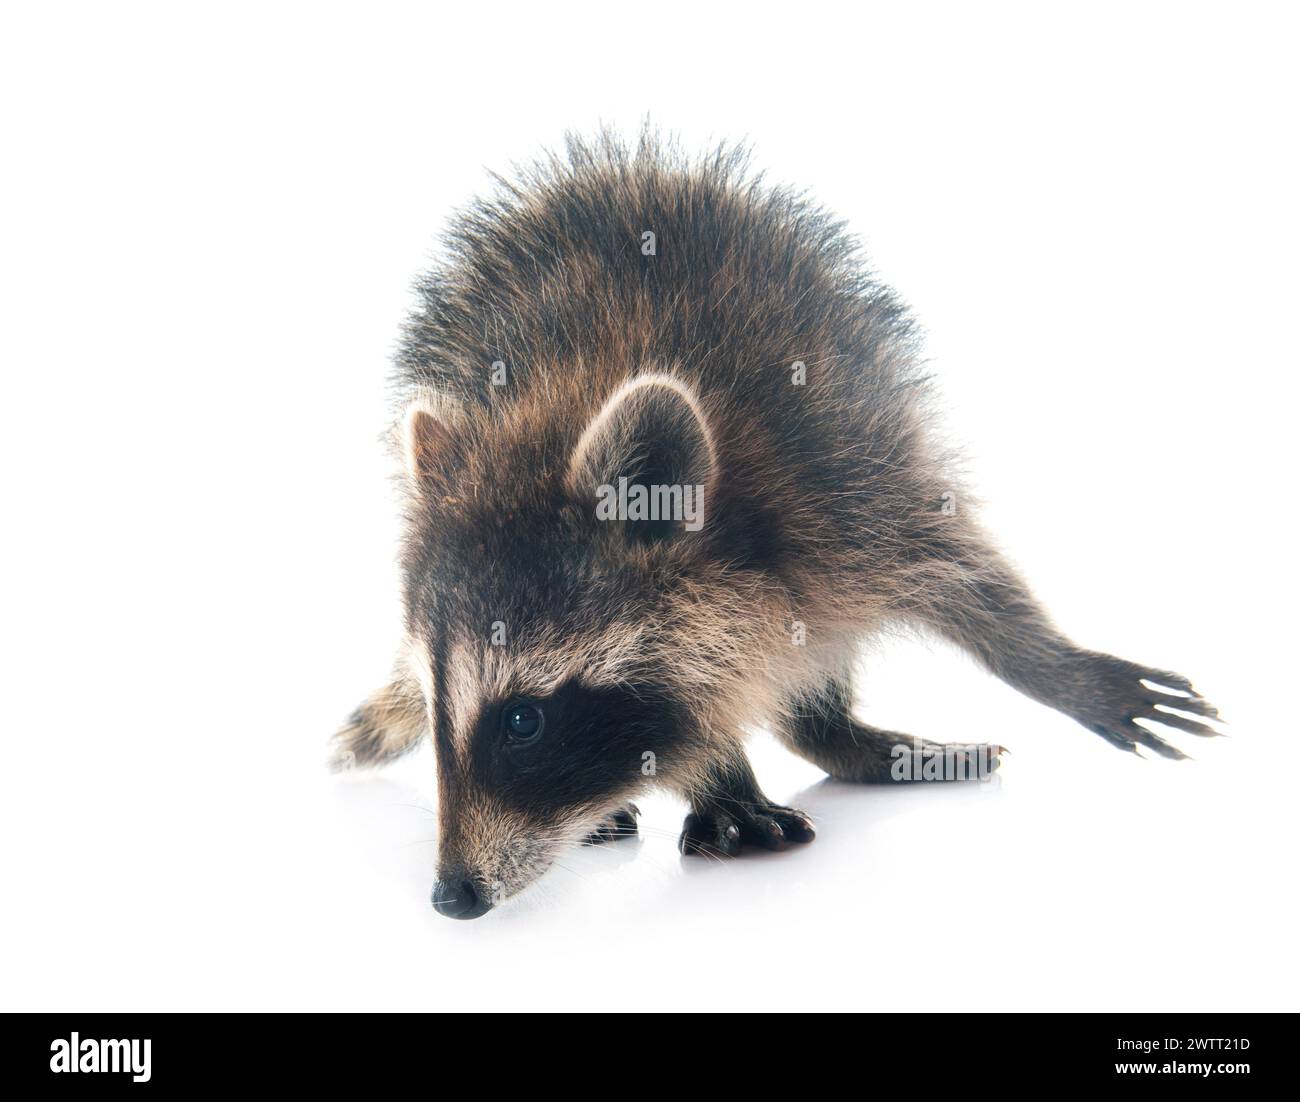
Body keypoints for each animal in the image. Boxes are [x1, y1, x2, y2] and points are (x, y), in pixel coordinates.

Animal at [332, 130, 1219, 919]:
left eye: (523, 721)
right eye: (438, 708)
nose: (451, 898)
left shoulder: (850, 482)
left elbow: (968, 575)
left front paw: (1062, 667)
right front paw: (719, 777)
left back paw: (840, 733)